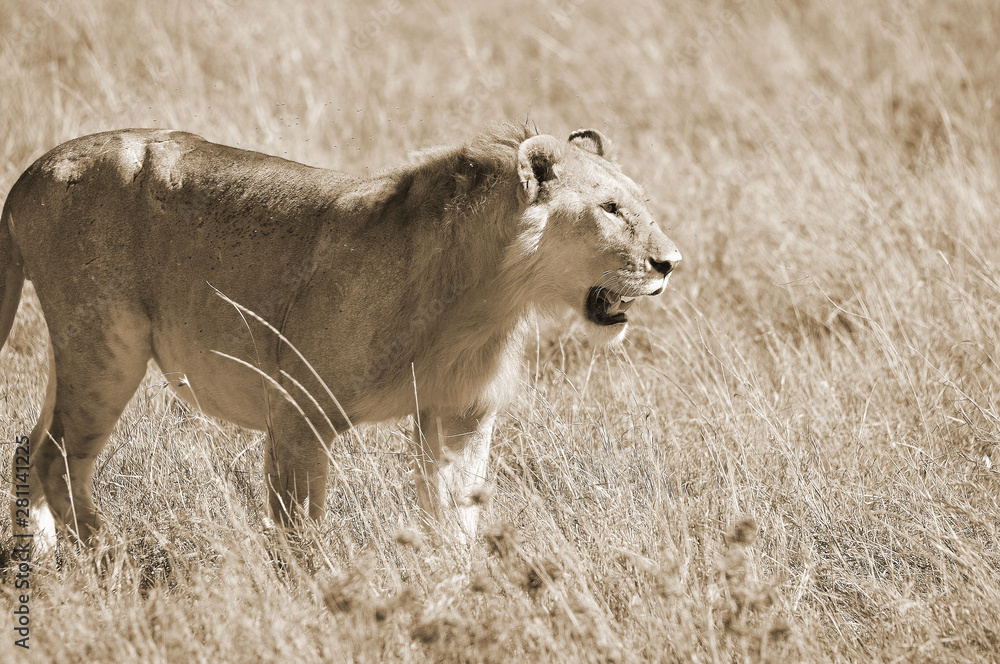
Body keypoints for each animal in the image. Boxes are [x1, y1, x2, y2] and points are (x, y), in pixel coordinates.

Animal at [0, 123, 679, 547]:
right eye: (610, 209)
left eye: (641, 202)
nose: (671, 263)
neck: (485, 298)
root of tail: (33, 170)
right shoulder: (299, 412)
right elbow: (300, 529)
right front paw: (319, 595)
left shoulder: (461, 416)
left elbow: (456, 513)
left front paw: (459, 589)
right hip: (106, 347)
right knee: (60, 457)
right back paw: (101, 552)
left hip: (78, 352)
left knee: (32, 447)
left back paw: (41, 556)